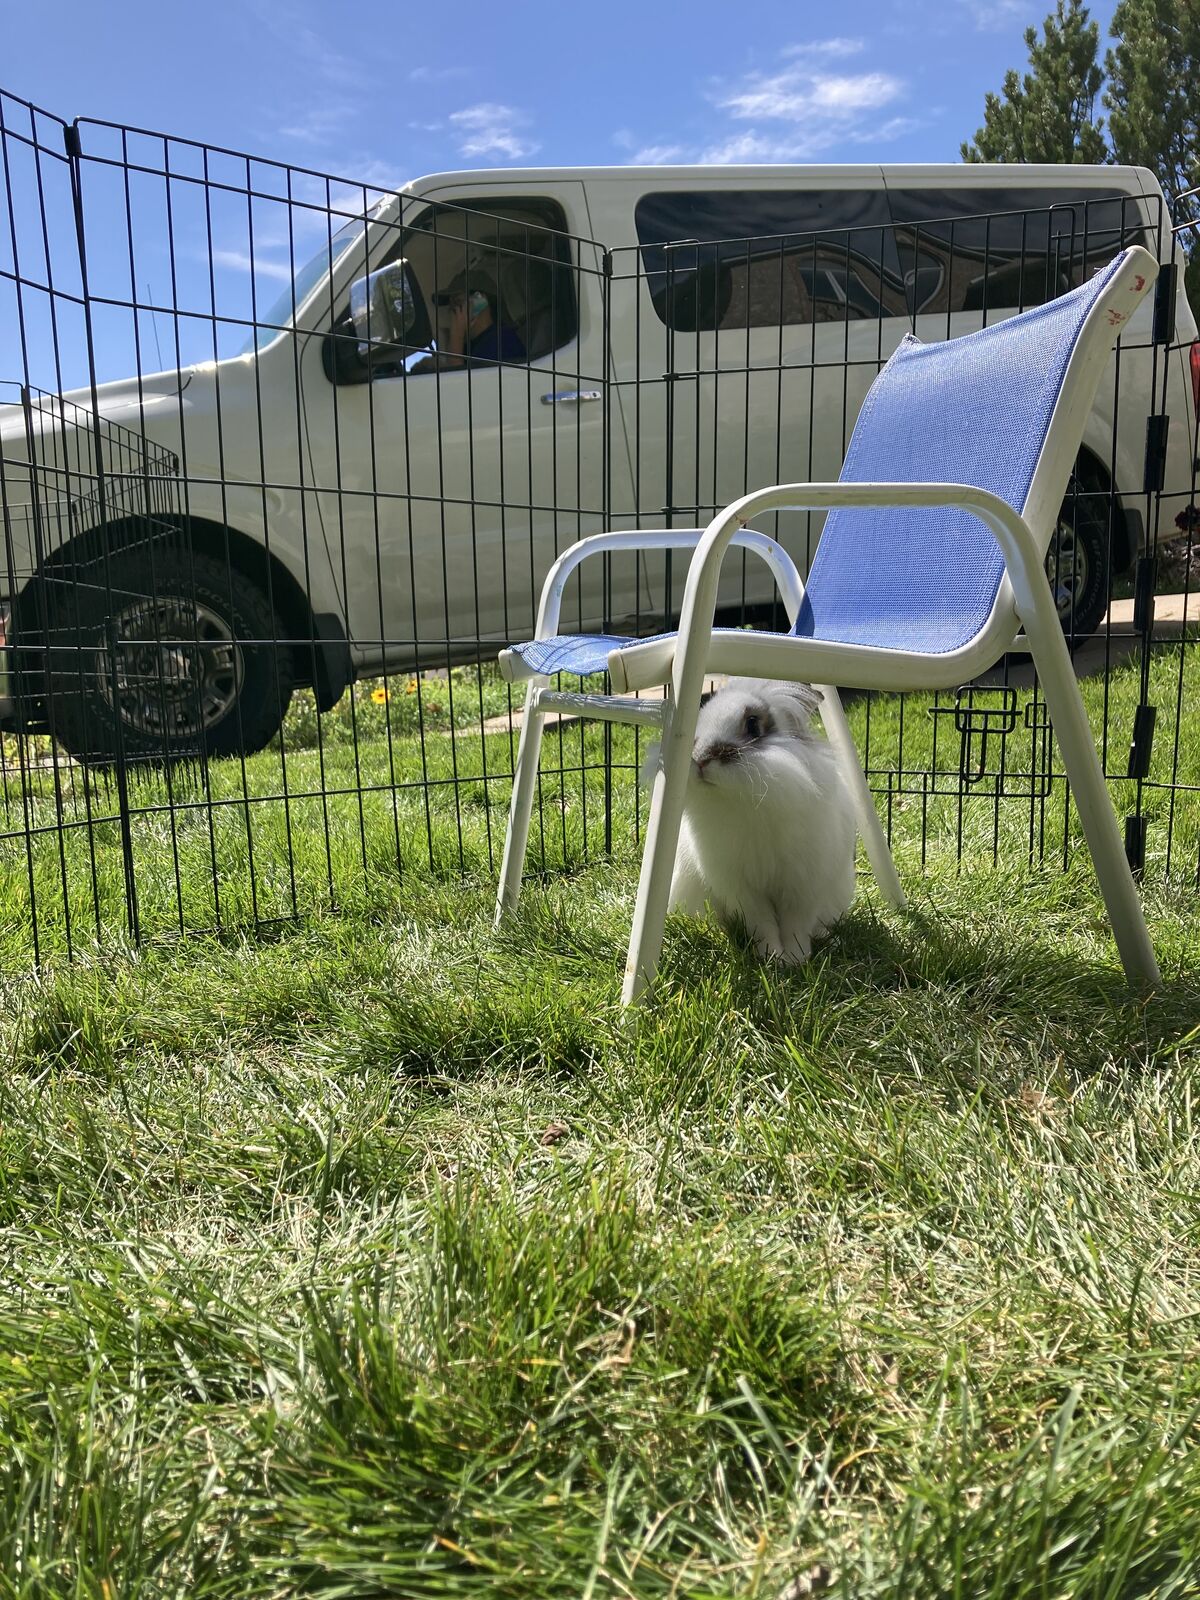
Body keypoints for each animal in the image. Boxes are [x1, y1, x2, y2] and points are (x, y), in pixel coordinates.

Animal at [645, 677, 857, 963]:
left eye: (753, 724)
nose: (700, 760)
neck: (744, 799)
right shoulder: (741, 890)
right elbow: (763, 923)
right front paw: (771, 956)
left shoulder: (803, 885)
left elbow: (795, 925)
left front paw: (795, 959)